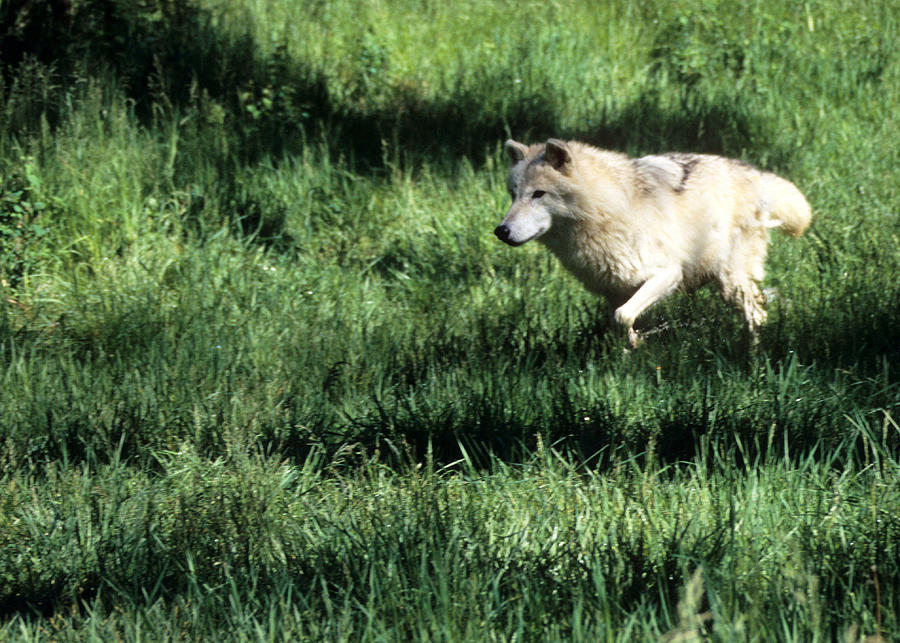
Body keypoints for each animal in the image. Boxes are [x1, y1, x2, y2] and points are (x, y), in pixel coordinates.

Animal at [494, 139, 812, 347]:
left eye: (538, 194)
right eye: (513, 194)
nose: (501, 231)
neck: (605, 211)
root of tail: (753, 173)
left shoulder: (668, 274)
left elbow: (623, 317)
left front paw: (637, 342)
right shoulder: (614, 291)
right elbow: (618, 323)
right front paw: (629, 357)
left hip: (730, 284)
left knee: (757, 316)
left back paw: (754, 358)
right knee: (760, 311)